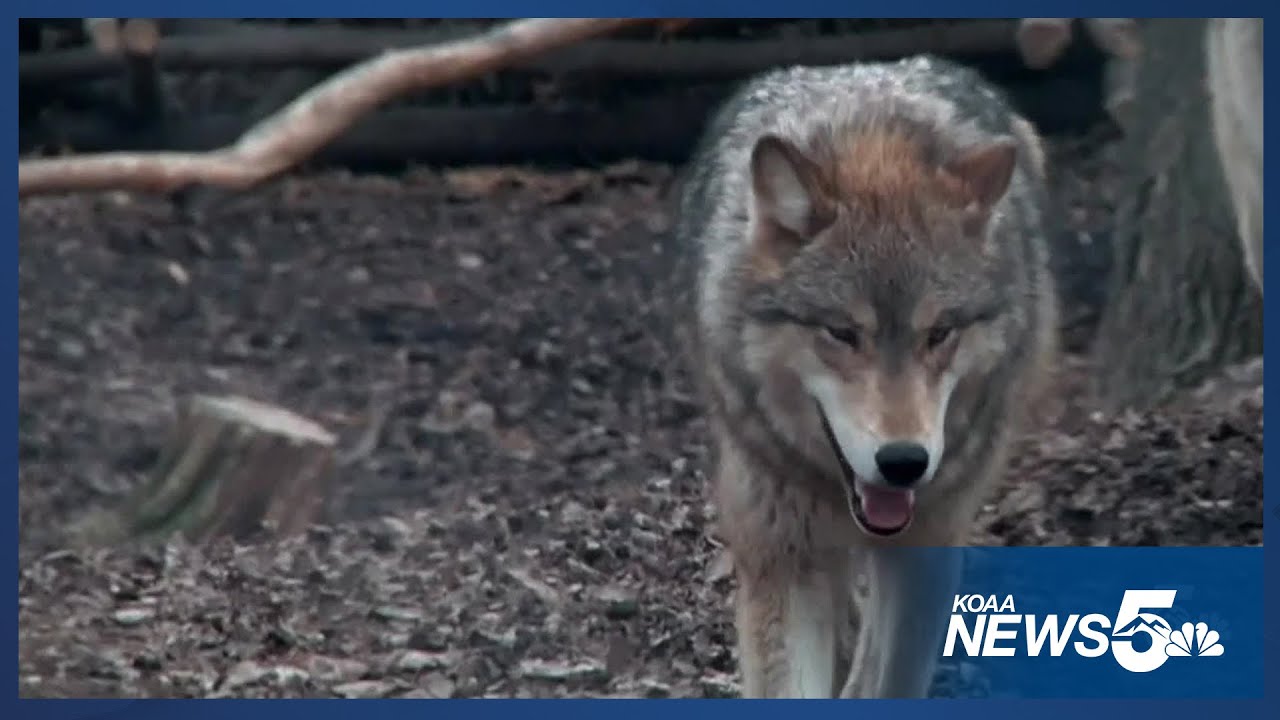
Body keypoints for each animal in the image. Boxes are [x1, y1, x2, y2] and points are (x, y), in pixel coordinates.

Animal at [668, 56, 1059, 698]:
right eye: (842, 333)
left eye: (939, 333)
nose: (903, 462)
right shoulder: (783, 557)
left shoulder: (928, 544)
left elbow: (893, 673)